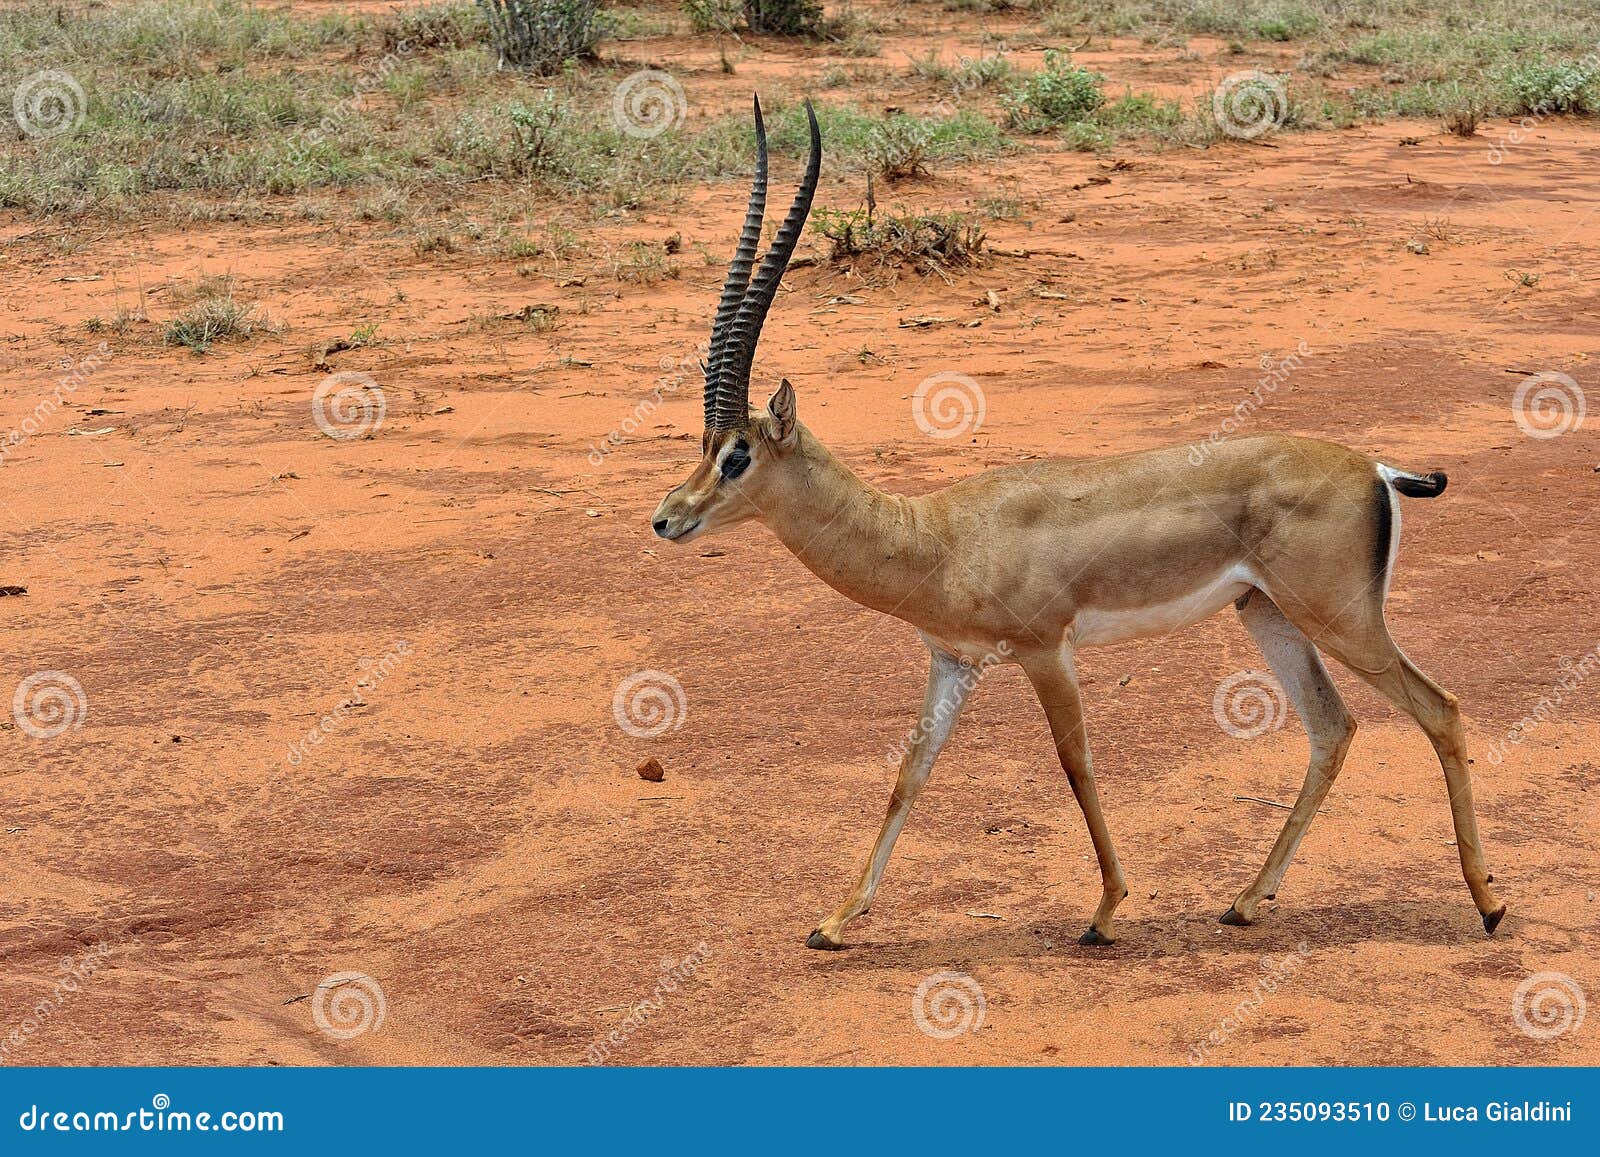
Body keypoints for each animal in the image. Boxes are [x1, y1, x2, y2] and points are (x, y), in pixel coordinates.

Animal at [652, 96, 1505, 950]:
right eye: (701, 444)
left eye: (736, 454)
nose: (666, 519)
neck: (937, 536)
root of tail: (1376, 468)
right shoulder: (953, 660)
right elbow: (911, 771)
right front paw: (834, 920)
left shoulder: (1044, 650)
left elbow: (1076, 762)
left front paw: (1104, 909)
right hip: (1268, 614)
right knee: (1333, 727)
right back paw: (1244, 899)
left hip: (1340, 618)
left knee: (1440, 708)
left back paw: (1488, 903)